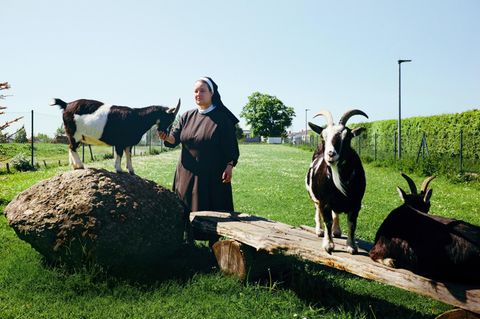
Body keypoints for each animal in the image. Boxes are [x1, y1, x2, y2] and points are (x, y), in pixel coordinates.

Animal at [51, 98, 180, 175]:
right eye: (169, 119)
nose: (166, 134)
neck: (137, 117)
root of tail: (66, 105)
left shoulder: (128, 143)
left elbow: (128, 154)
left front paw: (131, 170)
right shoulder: (120, 142)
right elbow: (120, 154)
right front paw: (119, 169)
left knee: (70, 147)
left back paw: (75, 166)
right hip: (75, 133)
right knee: (72, 147)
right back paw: (80, 166)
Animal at [306, 110, 370, 255]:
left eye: (347, 137)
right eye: (323, 136)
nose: (330, 154)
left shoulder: (356, 203)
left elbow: (352, 223)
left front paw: (352, 246)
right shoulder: (324, 201)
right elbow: (327, 221)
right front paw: (328, 245)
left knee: (336, 213)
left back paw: (336, 231)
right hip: (315, 196)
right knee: (318, 210)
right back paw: (319, 230)